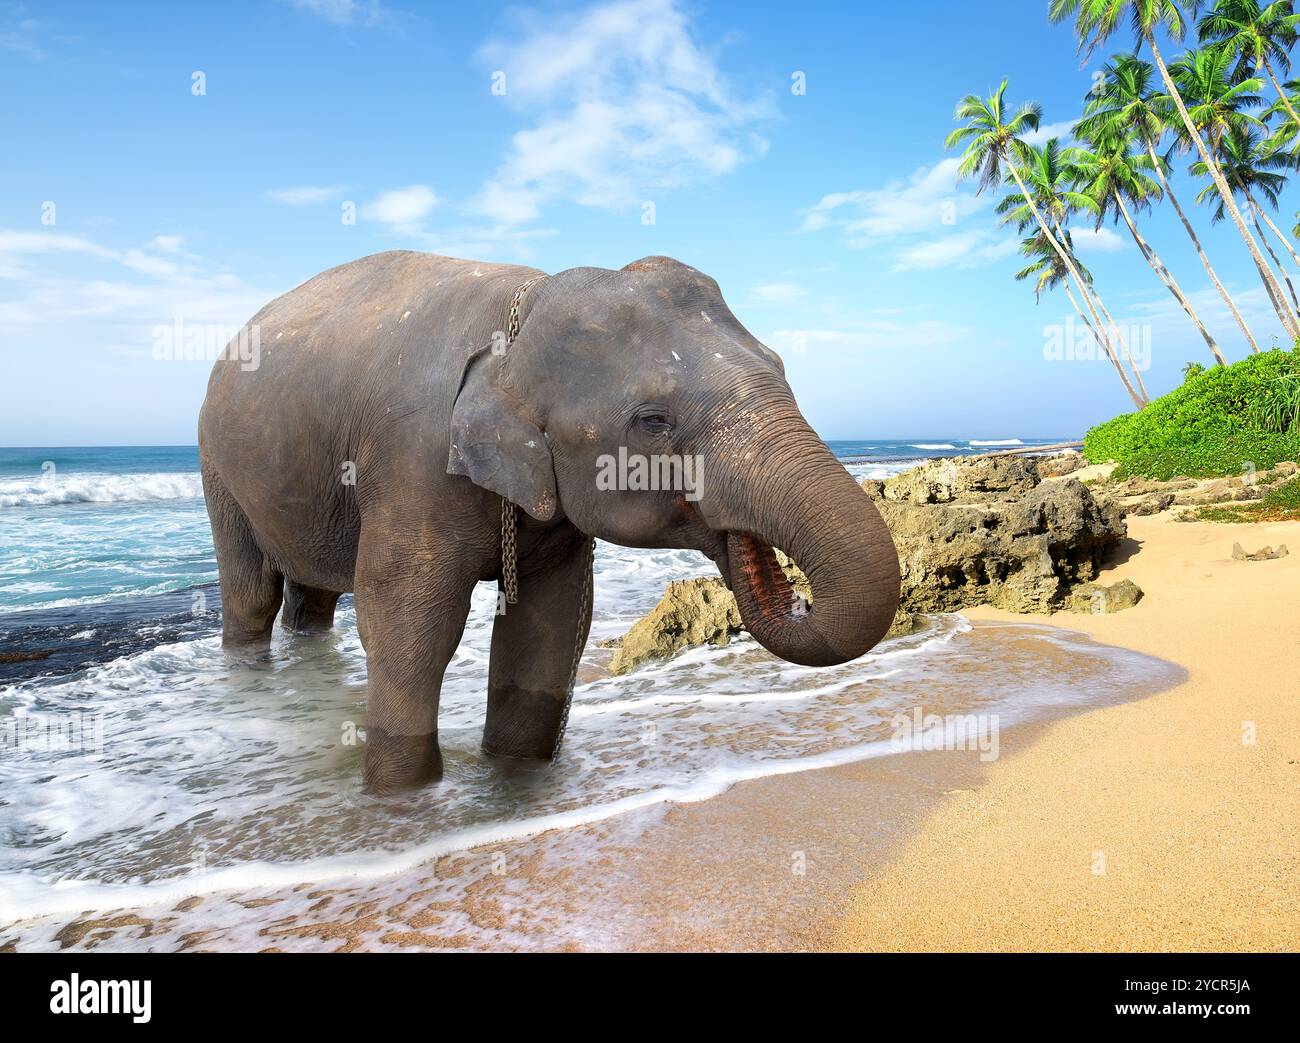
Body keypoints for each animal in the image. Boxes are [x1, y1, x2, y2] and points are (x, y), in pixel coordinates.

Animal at [198, 251, 900, 793]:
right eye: (654, 421)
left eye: (781, 368)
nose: (802, 599)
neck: (519, 319)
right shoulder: (413, 463)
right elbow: (406, 625)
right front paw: (400, 798)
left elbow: (550, 625)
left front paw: (512, 777)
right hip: (216, 466)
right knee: (252, 591)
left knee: (313, 596)